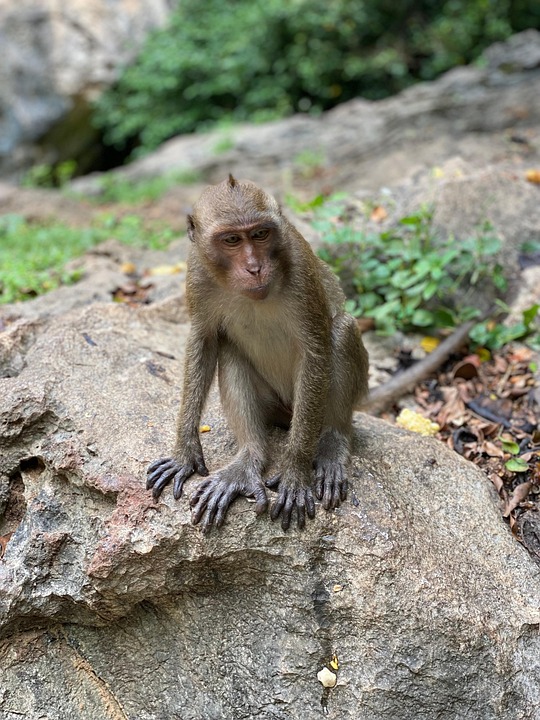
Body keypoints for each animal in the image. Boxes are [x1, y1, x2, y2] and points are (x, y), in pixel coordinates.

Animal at [146, 175, 369, 532]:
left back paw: (332, 443)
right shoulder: (197, 271)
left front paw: (295, 474)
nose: (254, 268)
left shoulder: (300, 269)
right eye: (232, 239)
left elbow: (316, 350)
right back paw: (248, 461)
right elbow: (204, 340)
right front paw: (184, 452)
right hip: (273, 405)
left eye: (261, 234)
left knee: (342, 331)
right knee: (230, 349)